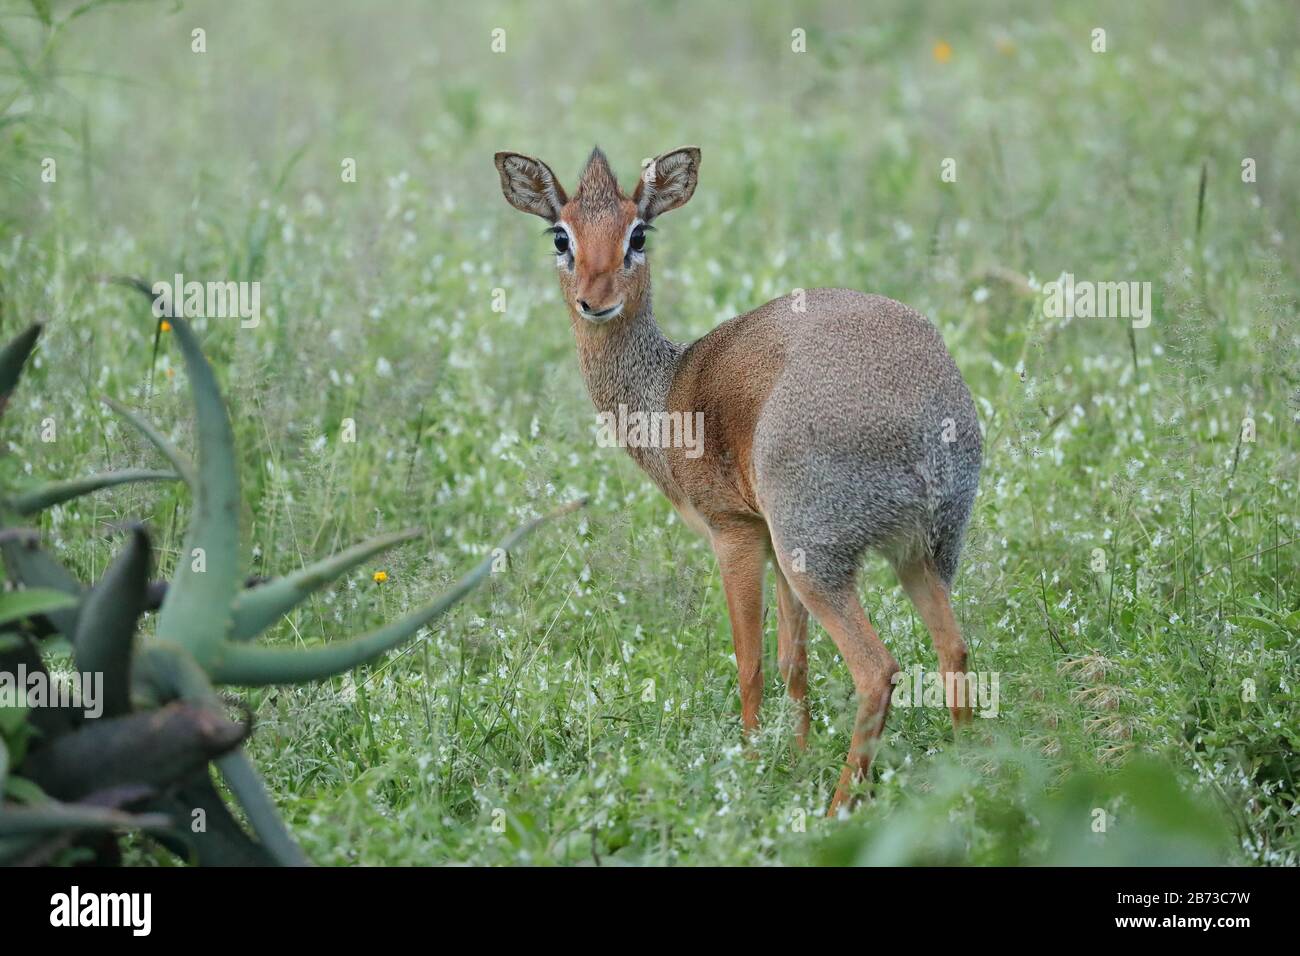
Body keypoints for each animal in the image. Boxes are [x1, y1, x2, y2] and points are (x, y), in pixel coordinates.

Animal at [494, 146, 982, 814]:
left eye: (638, 233)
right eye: (561, 236)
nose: (595, 300)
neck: (669, 390)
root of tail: (931, 416)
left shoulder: (735, 533)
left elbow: (749, 661)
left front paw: (751, 774)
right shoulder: (772, 549)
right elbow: (791, 662)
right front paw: (793, 760)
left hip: (819, 557)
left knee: (878, 669)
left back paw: (837, 809)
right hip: (919, 553)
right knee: (953, 649)